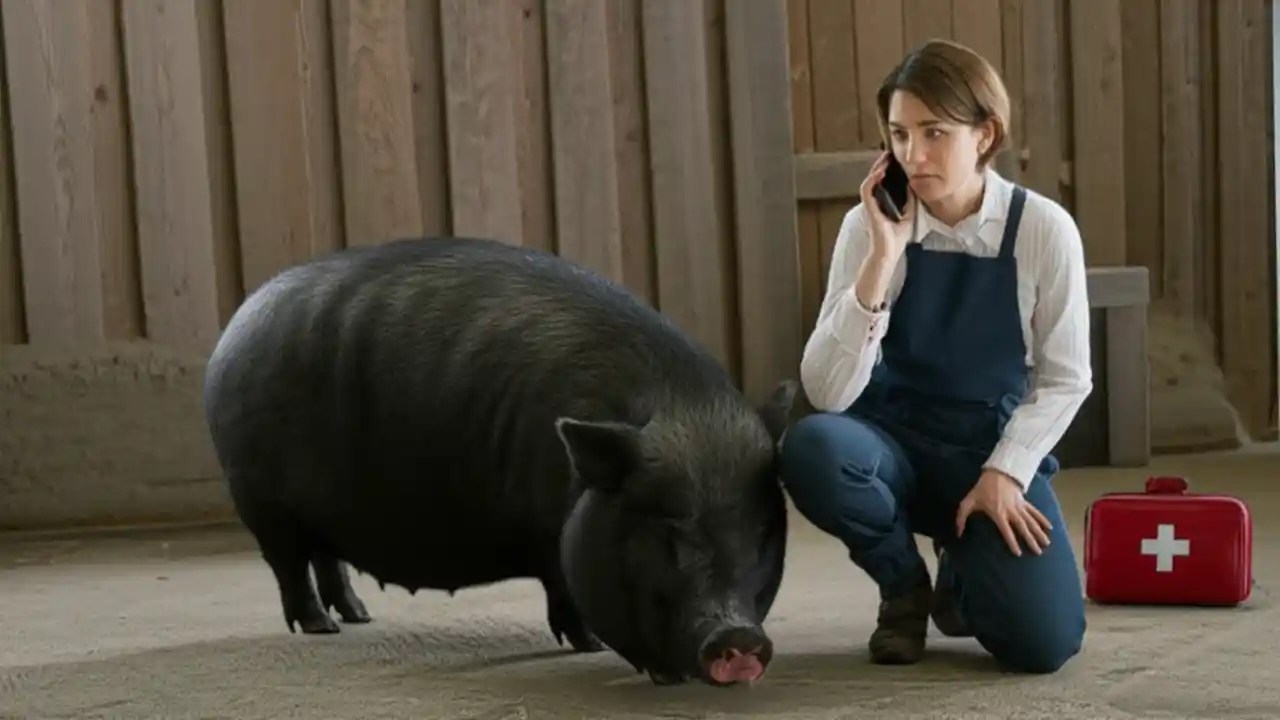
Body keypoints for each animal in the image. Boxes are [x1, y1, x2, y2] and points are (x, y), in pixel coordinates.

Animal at [202, 236, 798, 686]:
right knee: (289, 566)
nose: (739, 635)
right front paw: (590, 647)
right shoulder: (547, 539)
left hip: (316, 513)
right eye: (670, 534)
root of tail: (235, 328)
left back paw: (358, 616)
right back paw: (320, 627)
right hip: (260, 498)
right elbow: (564, 589)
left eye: (761, 532)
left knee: (327, 558)